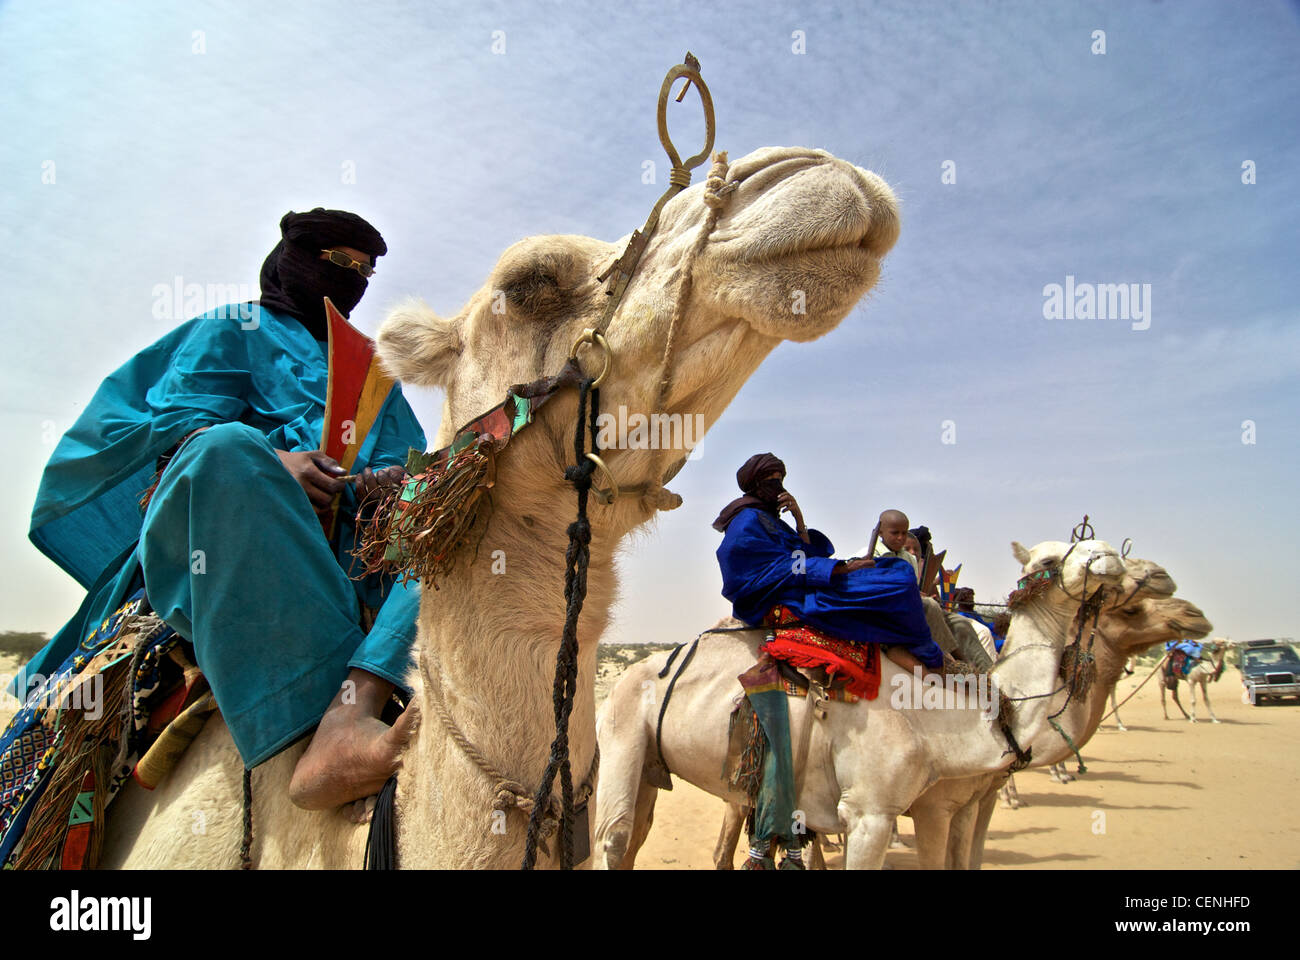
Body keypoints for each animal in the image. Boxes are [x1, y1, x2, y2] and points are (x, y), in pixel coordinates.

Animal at [593, 537, 1129, 869]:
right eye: (1046, 560)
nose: (1110, 556)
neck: (939, 720)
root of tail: (631, 674)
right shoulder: (875, 811)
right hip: (621, 728)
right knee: (614, 837)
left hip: (653, 764)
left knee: (637, 833)